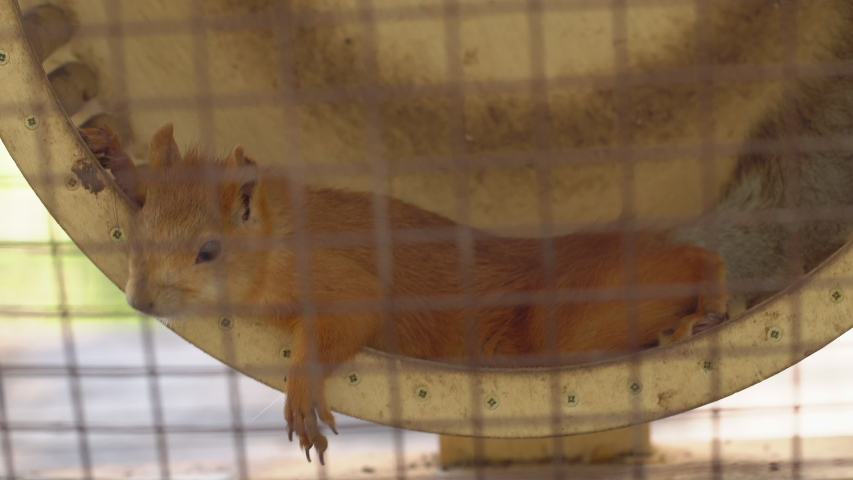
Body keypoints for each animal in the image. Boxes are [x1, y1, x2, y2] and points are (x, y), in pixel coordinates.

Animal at [79, 123, 729, 465]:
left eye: (210, 251)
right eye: (138, 231)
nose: (139, 302)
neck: (281, 234)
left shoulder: (340, 279)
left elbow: (344, 325)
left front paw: (301, 391)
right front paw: (110, 155)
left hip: (584, 314)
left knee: (692, 260)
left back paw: (706, 308)